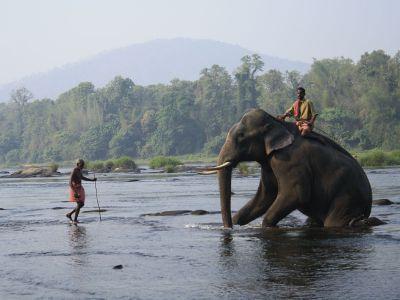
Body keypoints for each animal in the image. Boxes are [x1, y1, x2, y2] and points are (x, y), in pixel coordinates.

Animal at [203, 109, 378, 229]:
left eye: (241, 136)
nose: (228, 228)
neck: (278, 123)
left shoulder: (289, 160)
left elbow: (295, 194)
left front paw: (266, 225)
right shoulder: (269, 162)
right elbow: (264, 197)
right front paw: (236, 222)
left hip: (347, 197)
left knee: (334, 222)